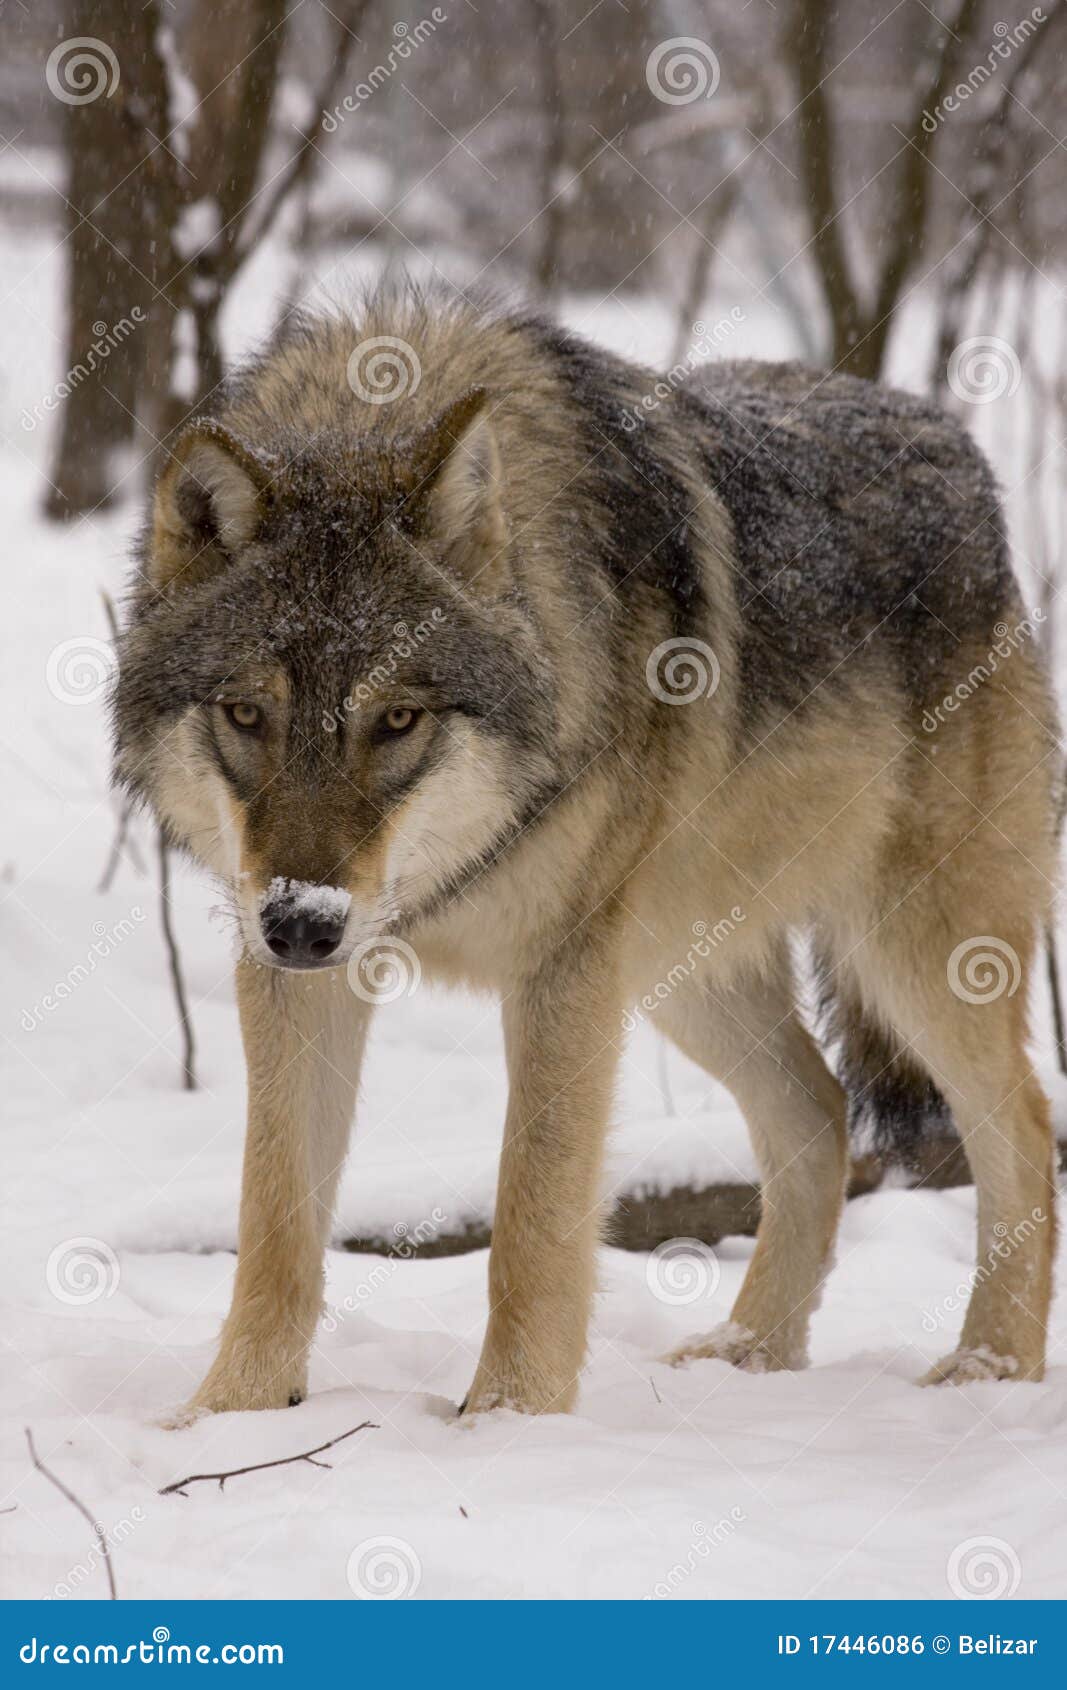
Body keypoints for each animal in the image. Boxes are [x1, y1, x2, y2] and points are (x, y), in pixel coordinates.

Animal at [114, 282, 1060, 1418]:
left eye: (397, 721)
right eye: (246, 714)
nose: (303, 923)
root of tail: (946, 437)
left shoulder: (561, 972)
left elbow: (532, 1218)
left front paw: (507, 1421)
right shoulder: (300, 981)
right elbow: (274, 1221)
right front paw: (228, 1418)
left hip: (914, 954)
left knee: (1023, 1133)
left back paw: (986, 1369)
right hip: (680, 973)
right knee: (819, 1113)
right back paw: (748, 1352)